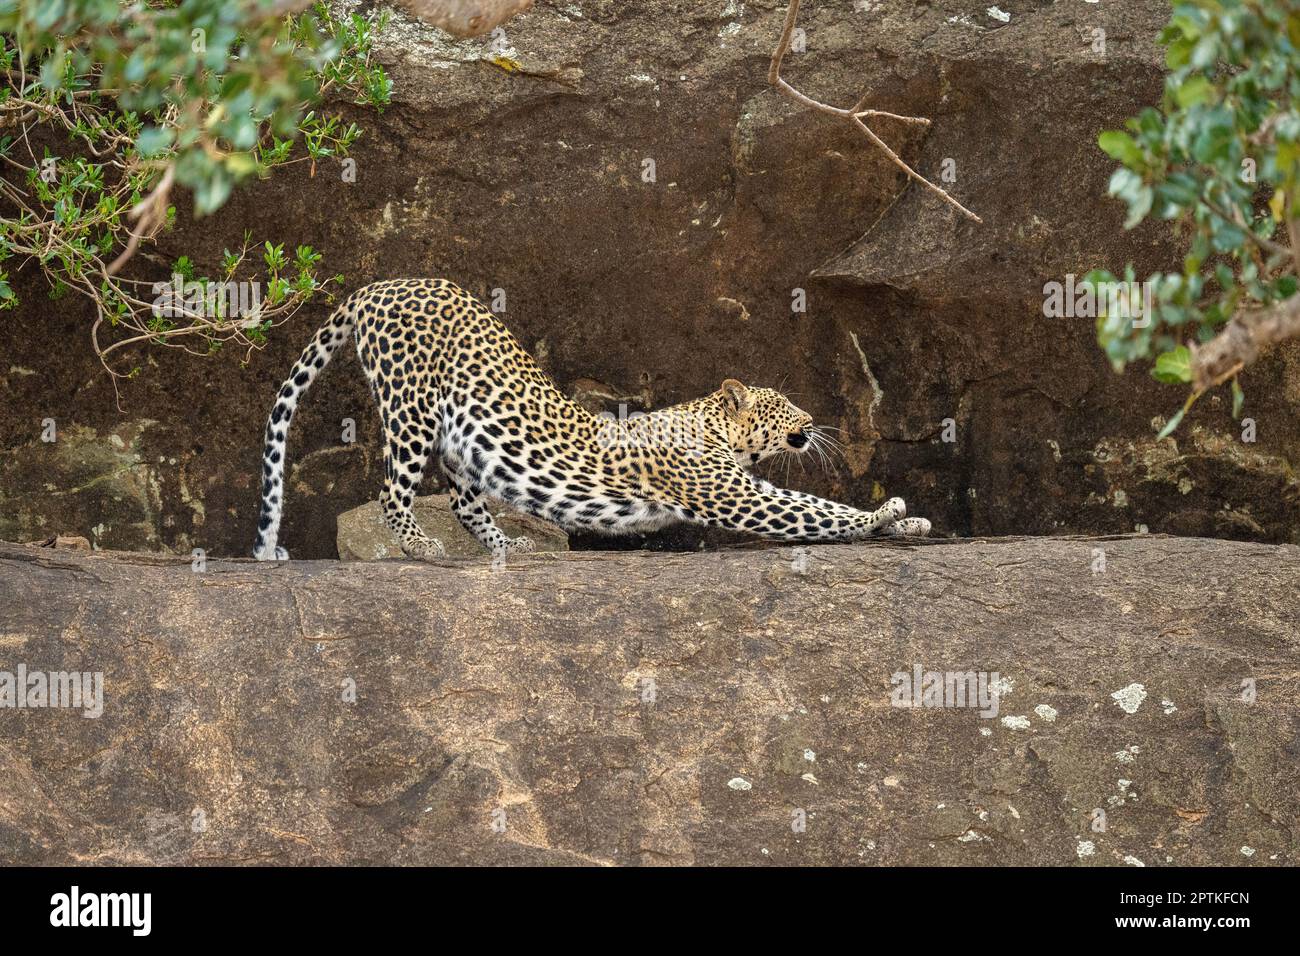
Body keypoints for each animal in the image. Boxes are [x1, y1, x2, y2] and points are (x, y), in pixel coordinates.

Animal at [252, 278, 931, 561]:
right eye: (782, 406)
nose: (812, 418)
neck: (714, 427)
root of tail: (380, 285)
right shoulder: (734, 494)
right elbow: (816, 513)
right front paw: (889, 513)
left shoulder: (743, 483)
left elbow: (819, 507)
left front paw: (908, 522)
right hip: (410, 408)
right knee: (393, 491)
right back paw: (420, 549)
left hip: (464, 438)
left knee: (467, 503)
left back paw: (511, 548)